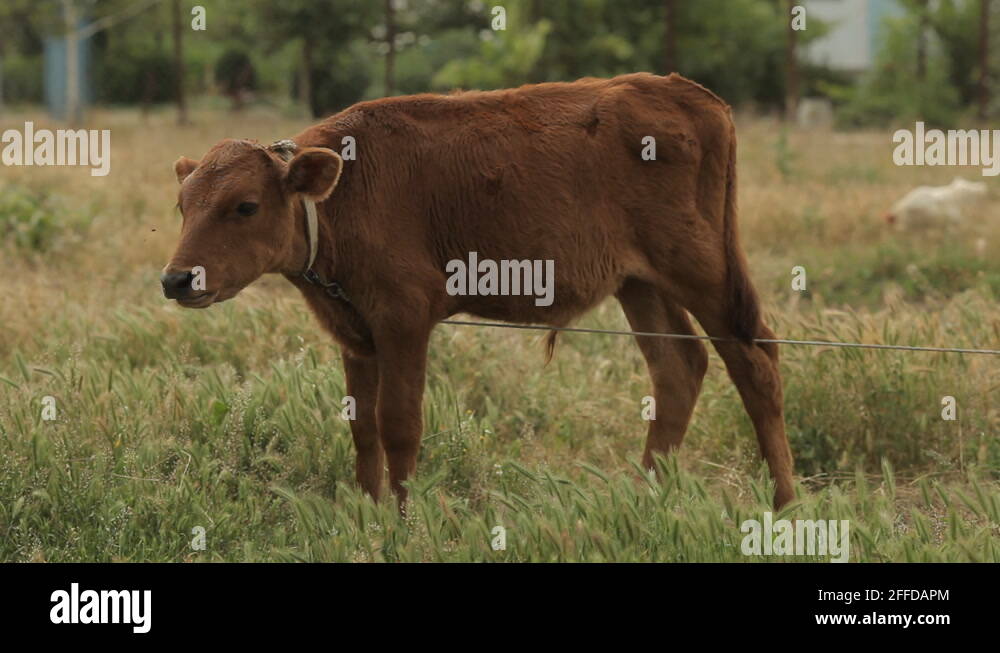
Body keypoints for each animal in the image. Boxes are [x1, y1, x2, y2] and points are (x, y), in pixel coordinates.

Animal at [162, 72, 796, 509]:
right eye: (183, 205)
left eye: (244, 205)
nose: (176, 279)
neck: (344, 193)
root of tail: (681, 91)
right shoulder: (356, 333)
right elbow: (362, 429)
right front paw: (365, 512)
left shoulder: (404, 319)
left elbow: (399, 425)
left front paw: (404, 521)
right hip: (640, 282)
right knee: (677, 369)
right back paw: (645, 498)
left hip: (700, 268)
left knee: (755, 361)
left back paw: (784, 503)